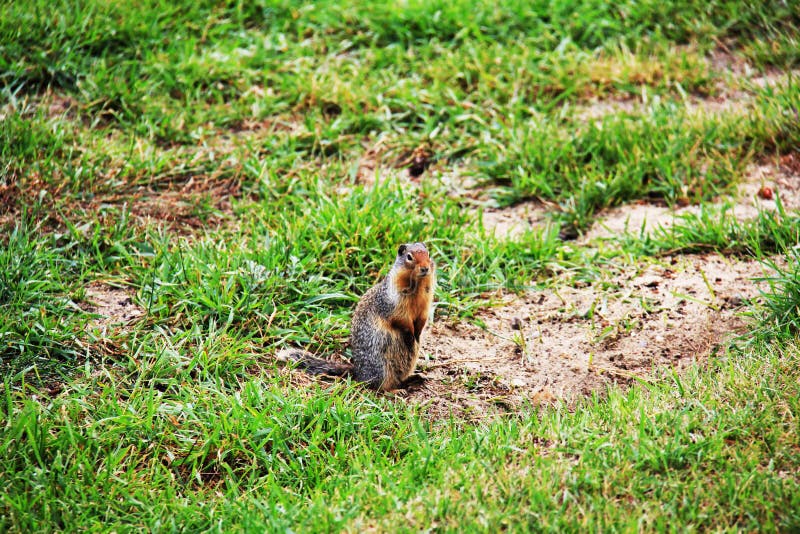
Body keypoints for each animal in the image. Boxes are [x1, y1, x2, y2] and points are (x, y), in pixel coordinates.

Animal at [277, 242, 435, 391]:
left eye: (428, 254)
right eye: (409, 257)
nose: (425, 268)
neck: (417, 285)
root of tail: (358, 372)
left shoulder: (425, 303)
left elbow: (422, 319)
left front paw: (418, 335)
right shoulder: (393, 303)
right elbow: (401, 320)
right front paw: (410, 335)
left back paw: (416, 377)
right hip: (382, 367)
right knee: (381, 387)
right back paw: (397, 390)